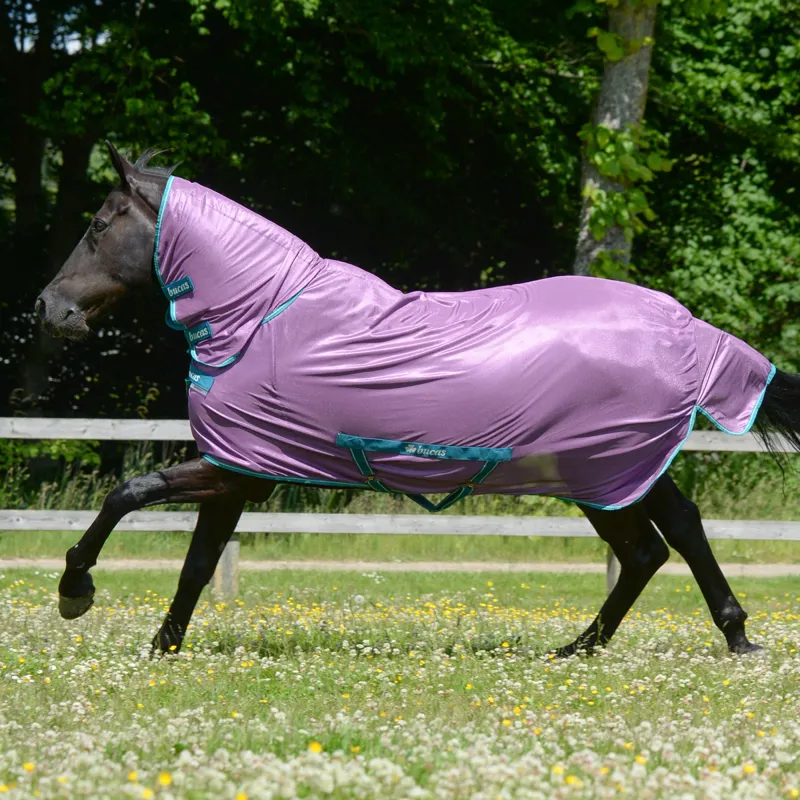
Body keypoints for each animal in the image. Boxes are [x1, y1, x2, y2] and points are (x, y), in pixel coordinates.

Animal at [35, 141, 800, 657]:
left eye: (98, 225)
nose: (48, 309)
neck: (265, 317)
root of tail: (686, 327)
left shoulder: (234, 470)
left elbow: (128, 493)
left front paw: (76, 592)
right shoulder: (238, 471)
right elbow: (196, 564)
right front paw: (162, 648)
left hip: (601, 473)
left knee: (651, 546)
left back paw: (645, 643)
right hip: (620, 470)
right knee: (670, 537)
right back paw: (653, 642)